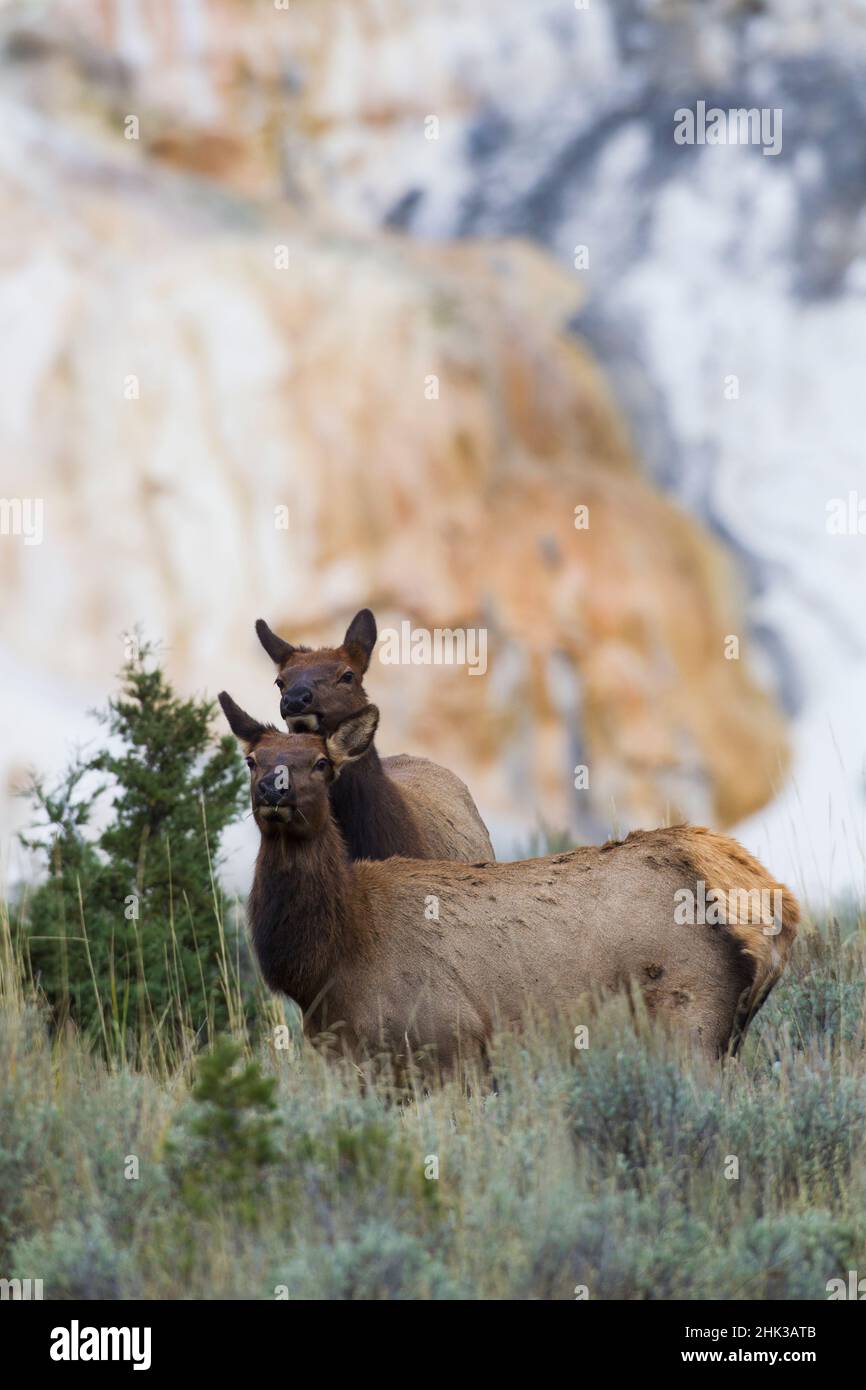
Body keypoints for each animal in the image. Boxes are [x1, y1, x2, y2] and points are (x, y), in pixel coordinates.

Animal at [219, 695, 799, 1070]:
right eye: (251, 759)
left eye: (321, 762)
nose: (274, 789)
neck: (321, 967)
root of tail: (777, 905)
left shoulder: (450, 1042)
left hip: (690, 1020)